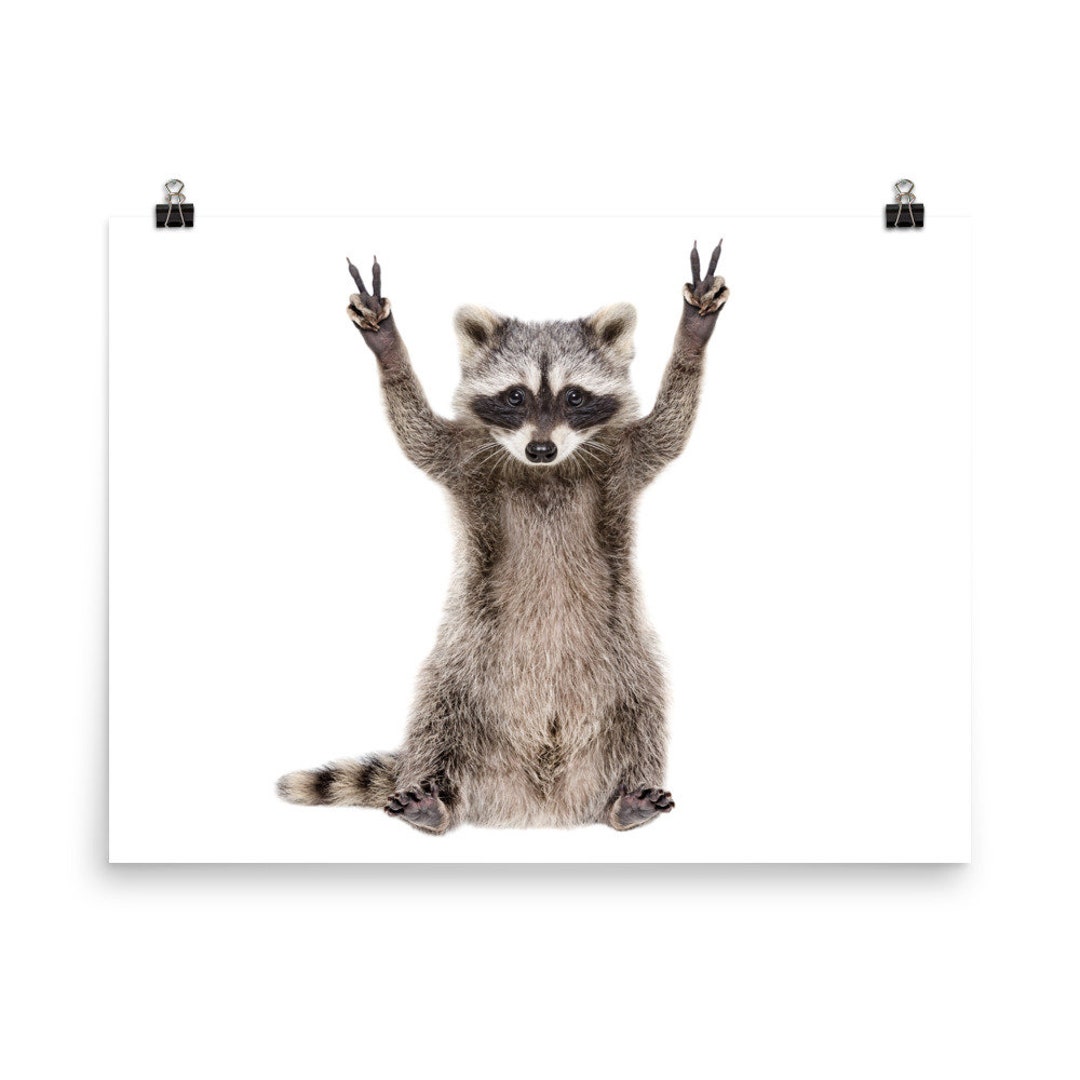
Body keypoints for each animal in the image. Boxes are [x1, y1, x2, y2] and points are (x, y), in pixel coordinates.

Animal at [277, 241, 729, 833]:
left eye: (574, 397)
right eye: (515, 396)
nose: (540, 449)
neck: (546, 473)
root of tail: (539, 803)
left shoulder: (627, 460)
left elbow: (670, 428)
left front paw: (693, 334)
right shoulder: (464, 463)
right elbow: (417, 433)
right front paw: (389, 348)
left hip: (626, 656)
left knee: (644, 709)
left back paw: (627, 797)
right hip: (463, 662)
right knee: (435, 714)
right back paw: (433, 800)